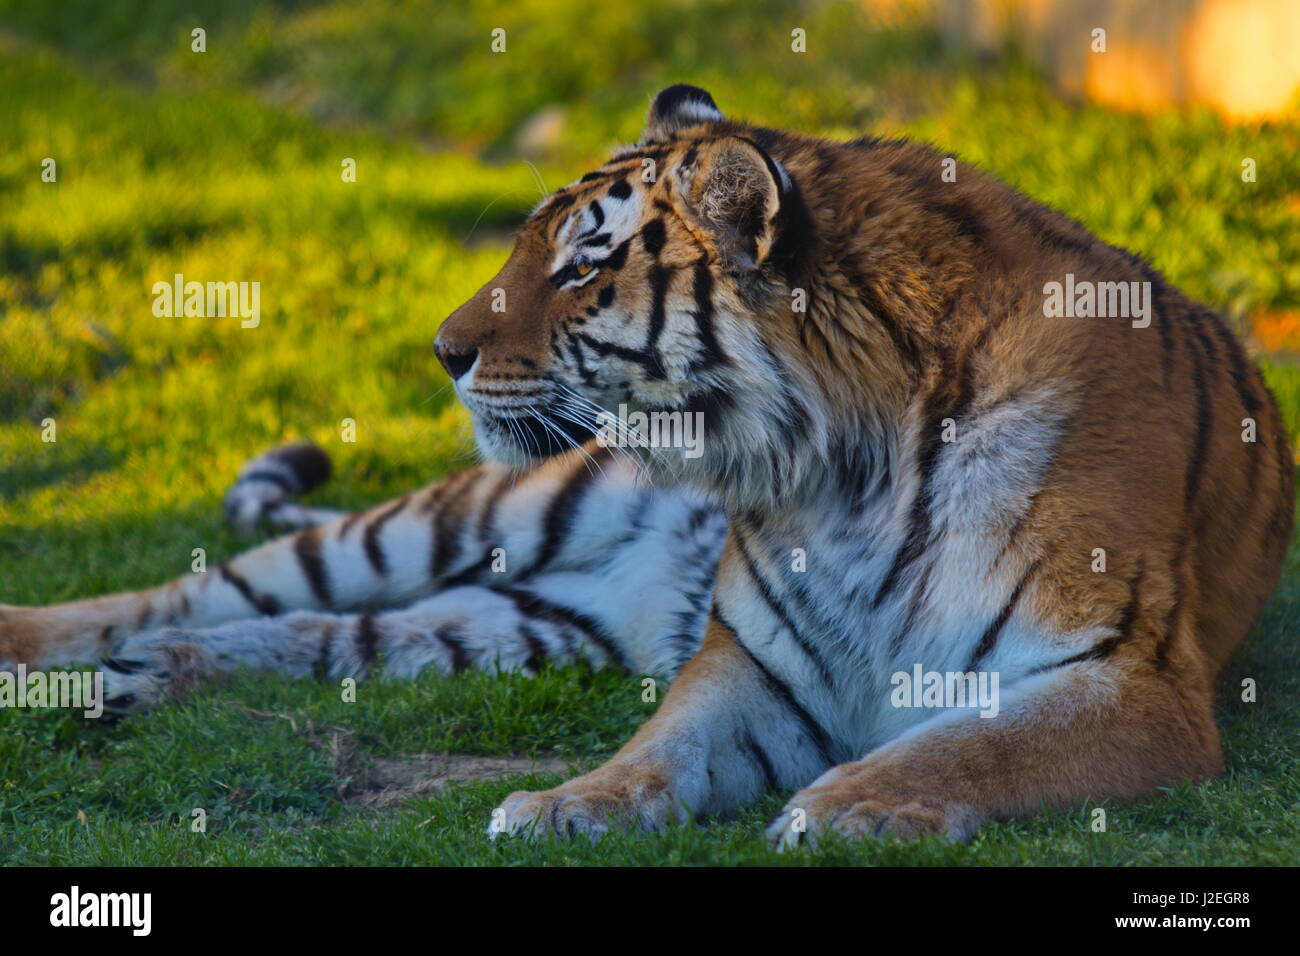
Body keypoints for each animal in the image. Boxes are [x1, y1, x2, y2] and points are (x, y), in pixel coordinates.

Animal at [1, 84, 1292, 846]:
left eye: (581, 265)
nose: (442, 352)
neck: (851, 465)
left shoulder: (1126, 677)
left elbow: (974, 738)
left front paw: (846, 805)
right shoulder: (752, 667)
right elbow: (652, 749)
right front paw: (558, 803)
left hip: (516, 624)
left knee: (314, 635)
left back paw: (143, 679)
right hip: (465, 516)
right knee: (191, 588)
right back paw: (49, 652)